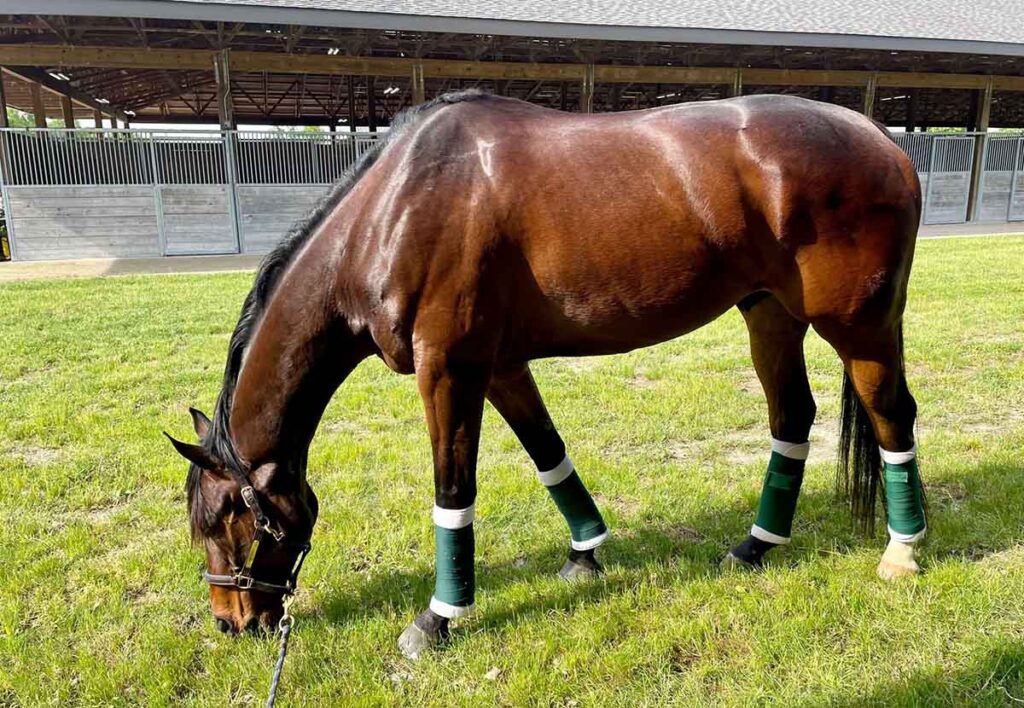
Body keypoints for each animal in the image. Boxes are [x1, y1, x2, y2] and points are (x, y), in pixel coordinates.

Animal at [167, 89, 926, 658]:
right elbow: (548, 454)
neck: (392, 211)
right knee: (792, 418)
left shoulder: (450, 369)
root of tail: (879, 135)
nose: (230, 622)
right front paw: (586, 553)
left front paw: (439, 618)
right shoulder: (501, 367)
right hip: (769, 314)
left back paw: (903, 551)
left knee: (892, 414)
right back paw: (756, 546)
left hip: (858, 325)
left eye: (225, 520)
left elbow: (453, 491)